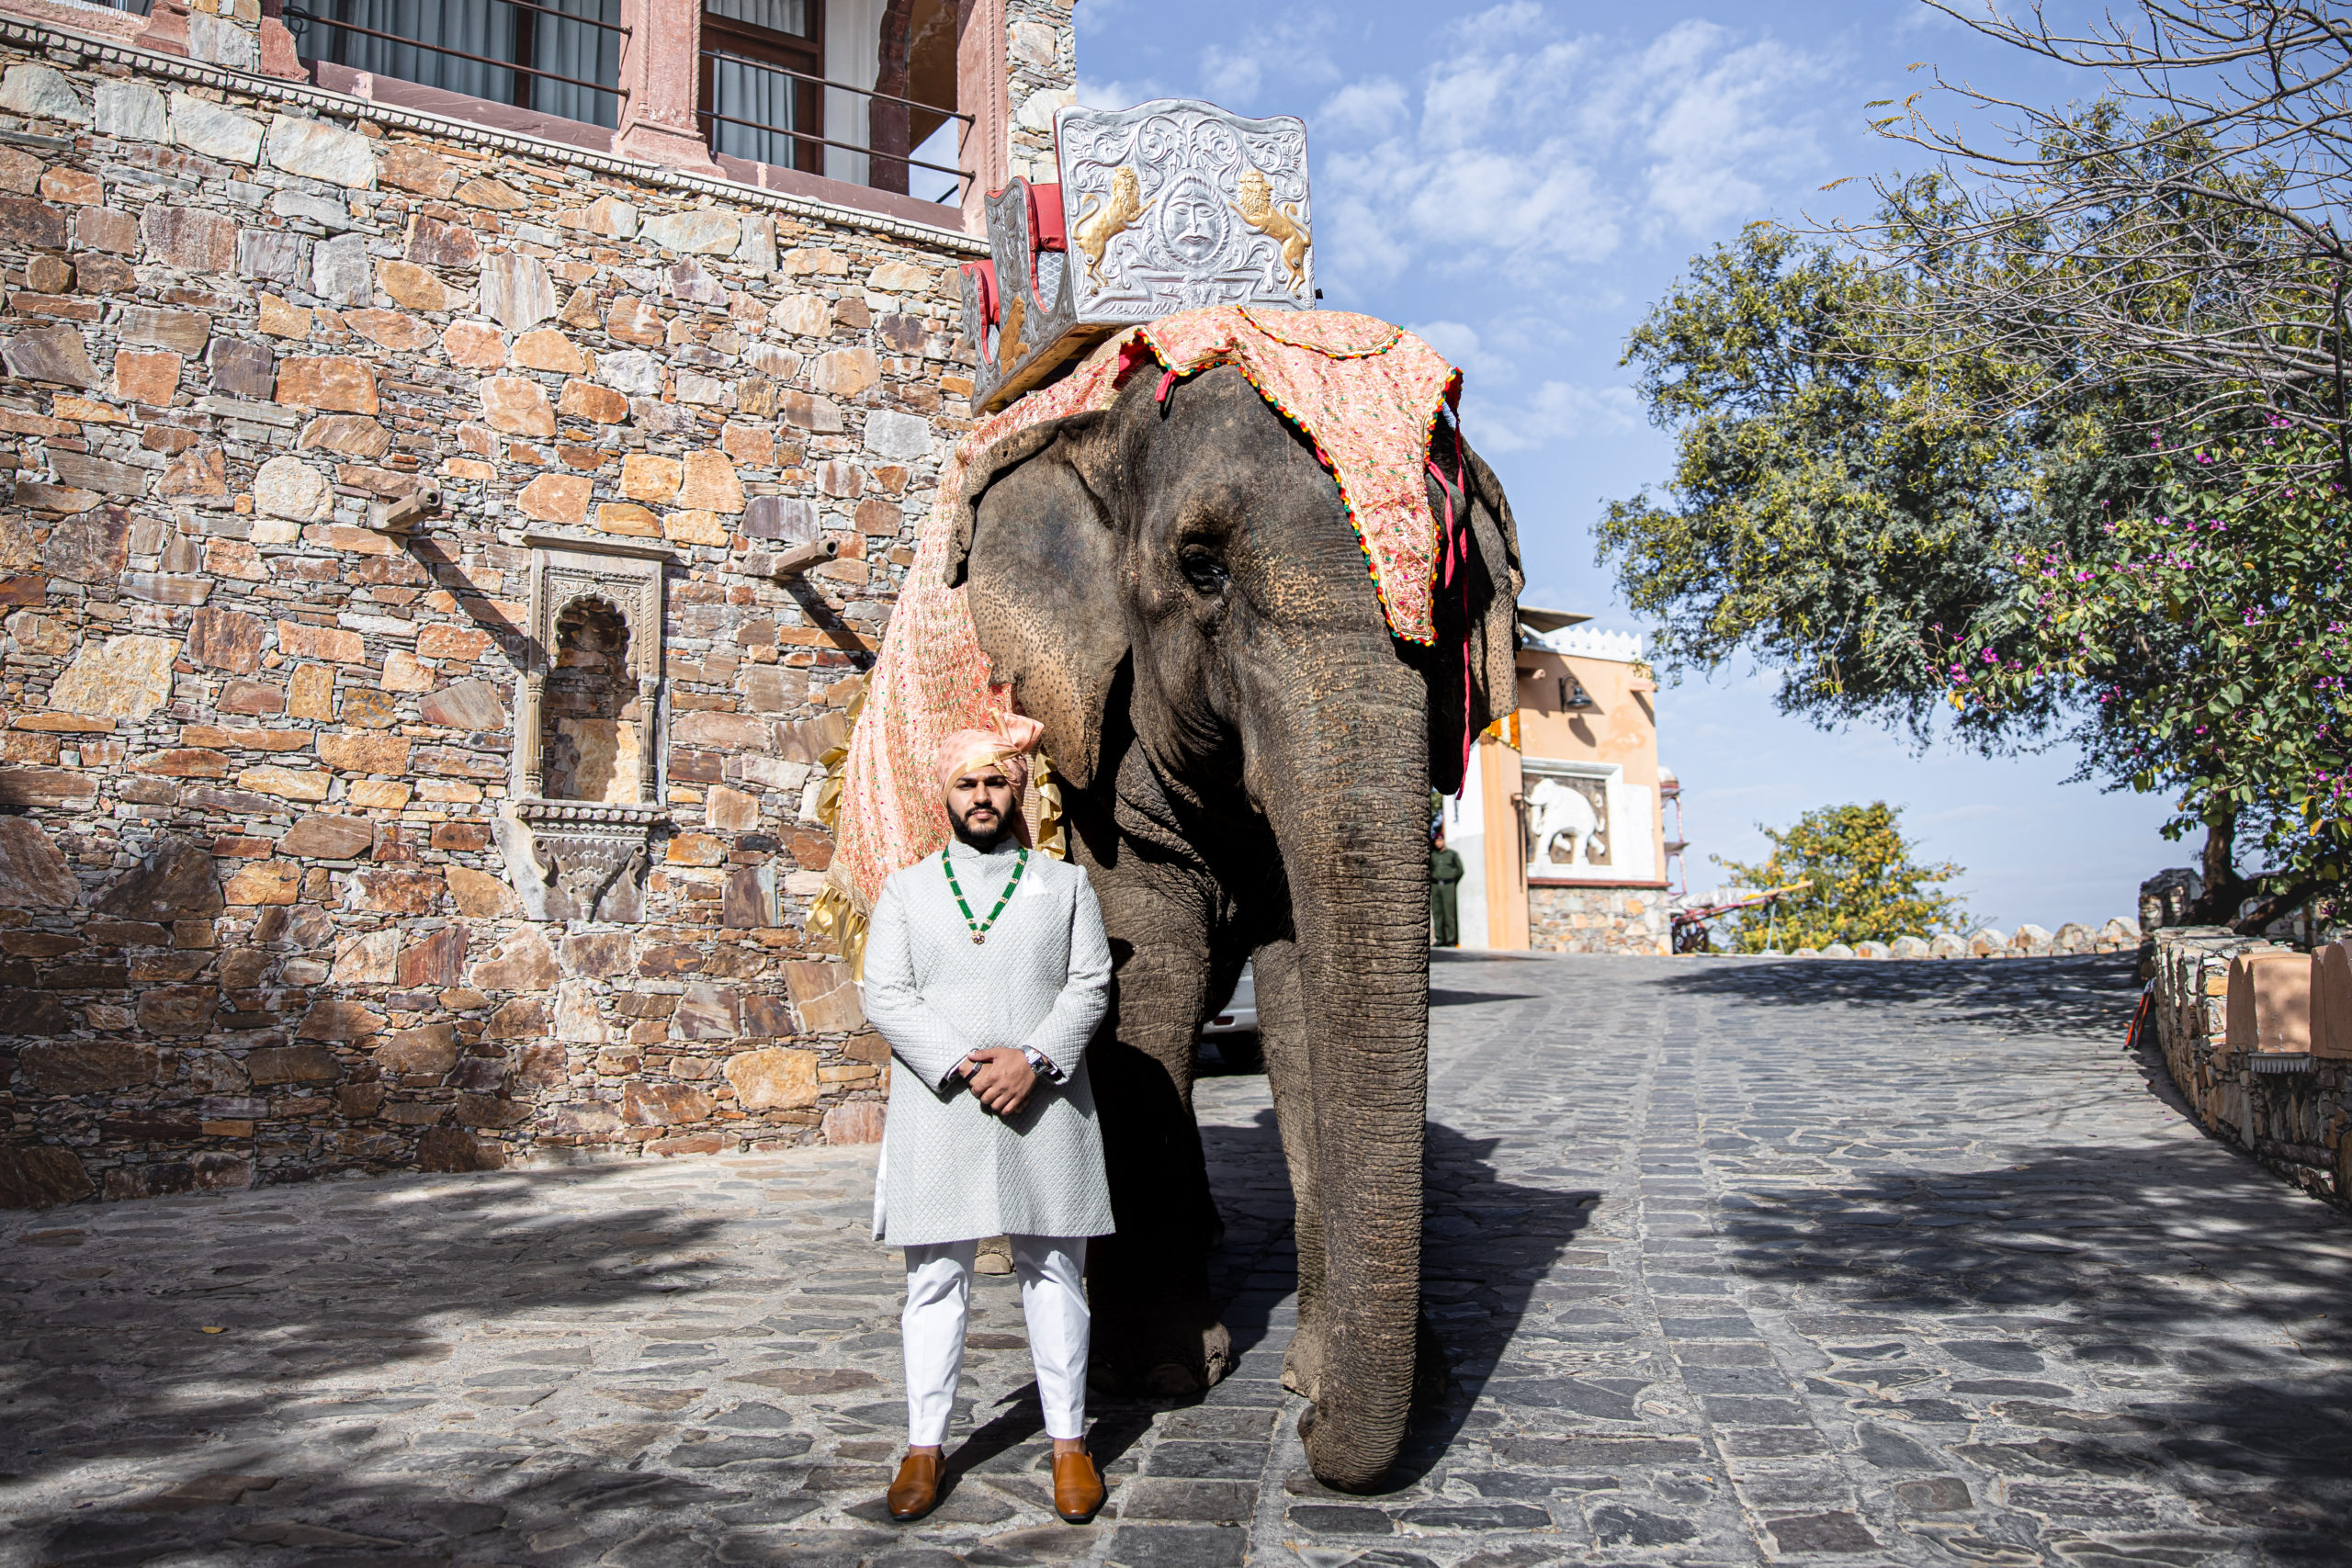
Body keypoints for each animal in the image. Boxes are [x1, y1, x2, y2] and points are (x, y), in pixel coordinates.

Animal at [944, 362, 1525, 1490]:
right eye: (1201, 567)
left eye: (1449, 593)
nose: (1306, 1437)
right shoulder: (1098, 765)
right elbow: (1150, 981)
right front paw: (1166, 1372)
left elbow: (1300, 1003)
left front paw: (1321, 1371)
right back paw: (998, 1250)